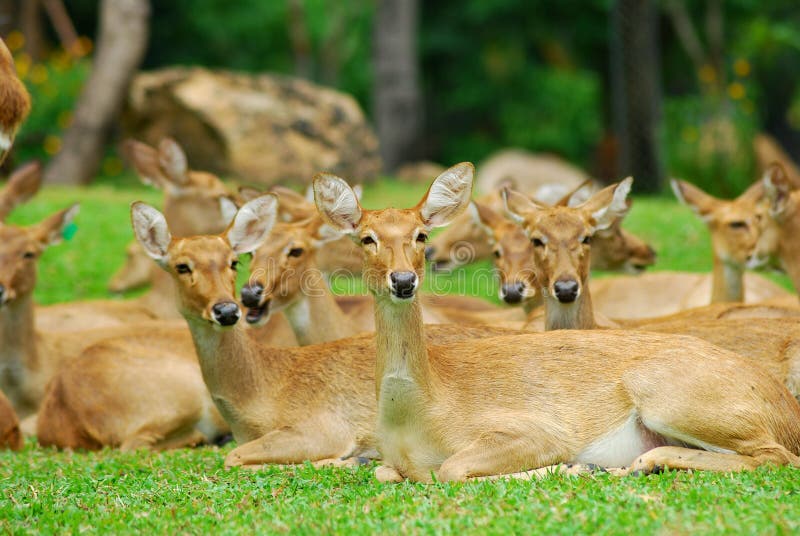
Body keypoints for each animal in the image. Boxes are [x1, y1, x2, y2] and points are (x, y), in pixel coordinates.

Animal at [129, 194, 519, 467]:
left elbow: (233, 458)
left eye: (232, 261)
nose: (229, 308)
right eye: (181, 266)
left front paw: (354, 458)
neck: (261, 393)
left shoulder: (322, 427)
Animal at [313, 162, 800, 483]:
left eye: (421, 234)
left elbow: (451, 470)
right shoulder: (392, 461)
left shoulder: (533, 429)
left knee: (776, 455)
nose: (403, 280)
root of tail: (786, 411)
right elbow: (388, 474)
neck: (421, 410)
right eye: (366, 238)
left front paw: (570, 465)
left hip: (672, 397)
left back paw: (634, 463)